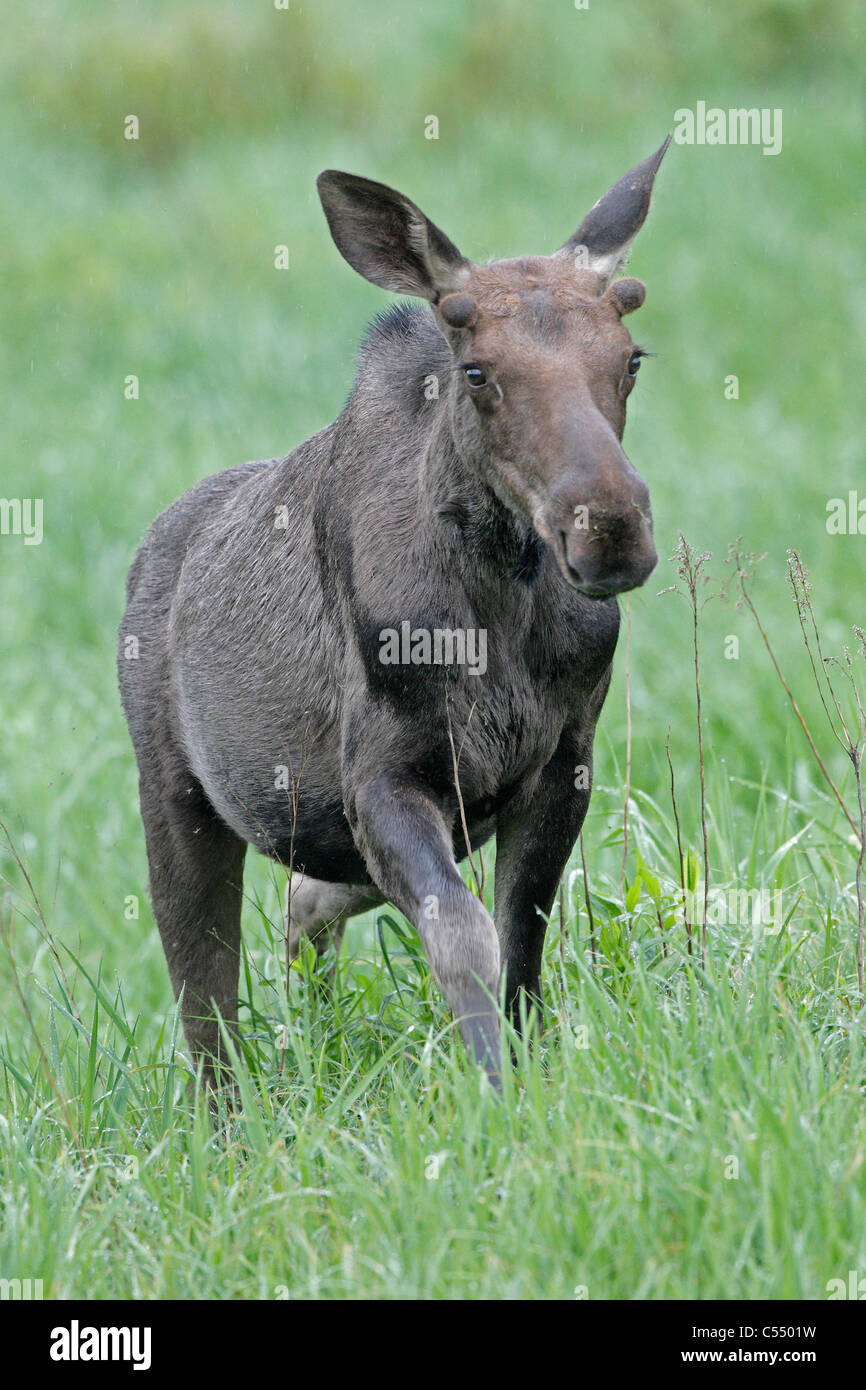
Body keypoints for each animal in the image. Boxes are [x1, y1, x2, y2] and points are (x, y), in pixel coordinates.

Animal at [118, 139, 670, 1089]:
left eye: (631, 358)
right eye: (477, 371)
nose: (609, 530)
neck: (498, 606)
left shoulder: (562, 763)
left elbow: (521, 946)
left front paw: (519, 1073)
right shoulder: (382, 775)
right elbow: (464, 936)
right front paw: (493, 1087)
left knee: (304, 902)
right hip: (176, 793)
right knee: (207, 1008)